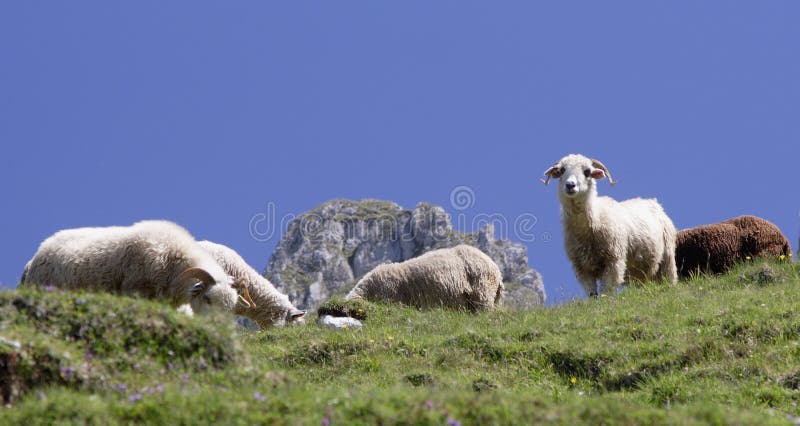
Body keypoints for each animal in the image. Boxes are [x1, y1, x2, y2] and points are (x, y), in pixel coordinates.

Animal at [542, 154, 677, 296]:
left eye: (587, 171)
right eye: (562, 170)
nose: (570, 185)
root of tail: (653, 202)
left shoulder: (614, 261)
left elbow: (606, 291)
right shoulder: (582, 268)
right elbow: (592, 294)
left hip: (667, 256)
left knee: (670, 276)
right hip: (639, 271)